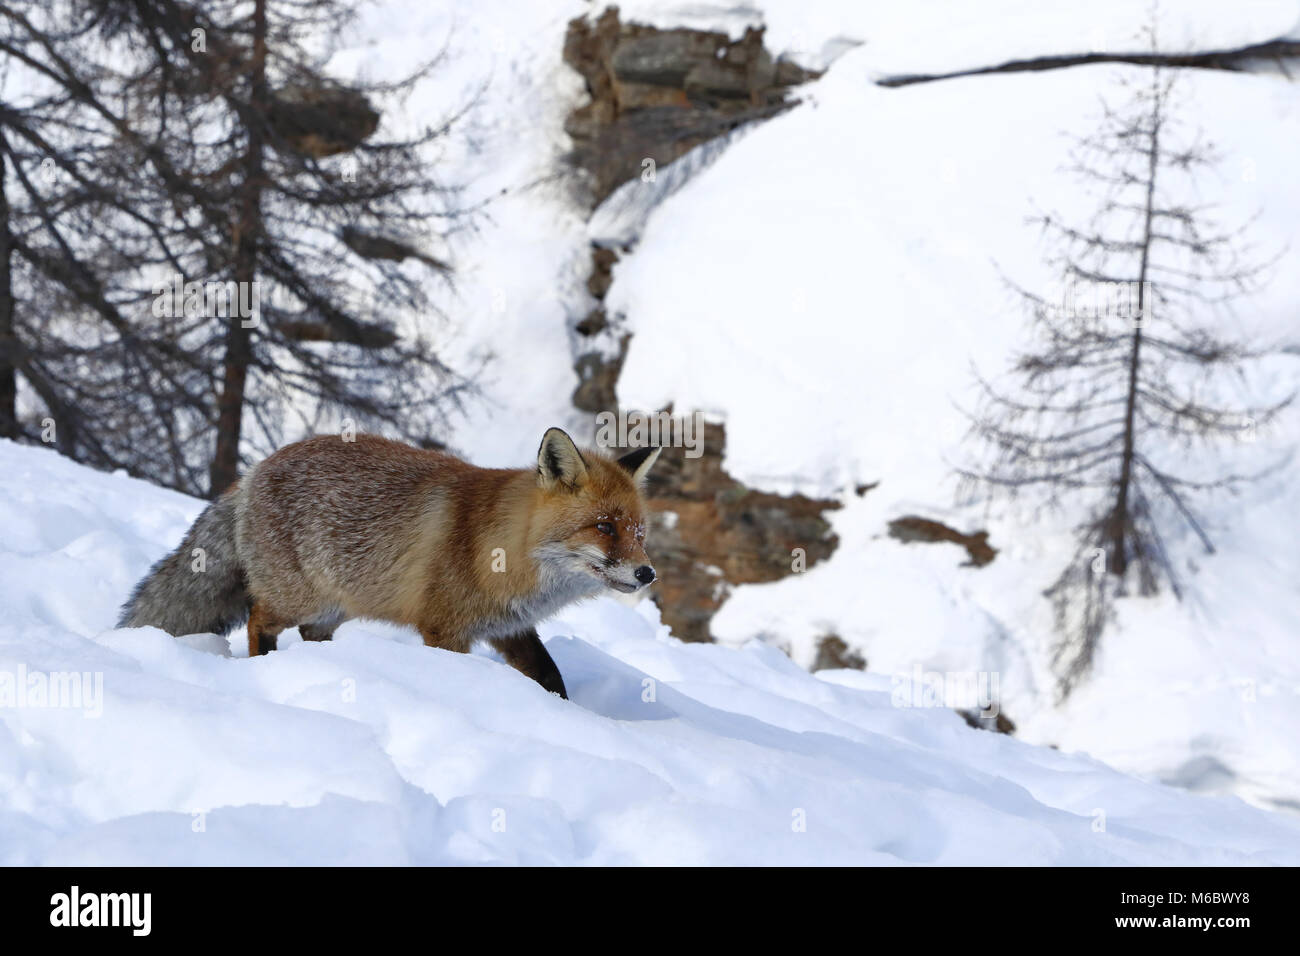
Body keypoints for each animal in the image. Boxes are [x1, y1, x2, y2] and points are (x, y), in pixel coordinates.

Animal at [117, 428, 661, 699]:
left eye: (639, 532)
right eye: (603, 527)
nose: (647, 574)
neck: (505, 550)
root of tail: (252, 471)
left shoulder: (509, 627)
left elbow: (552, 679)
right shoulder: (445, 629)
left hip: (334, 606)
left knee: (311, 635)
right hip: (299, 598)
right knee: (257, 620)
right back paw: (265, 665)